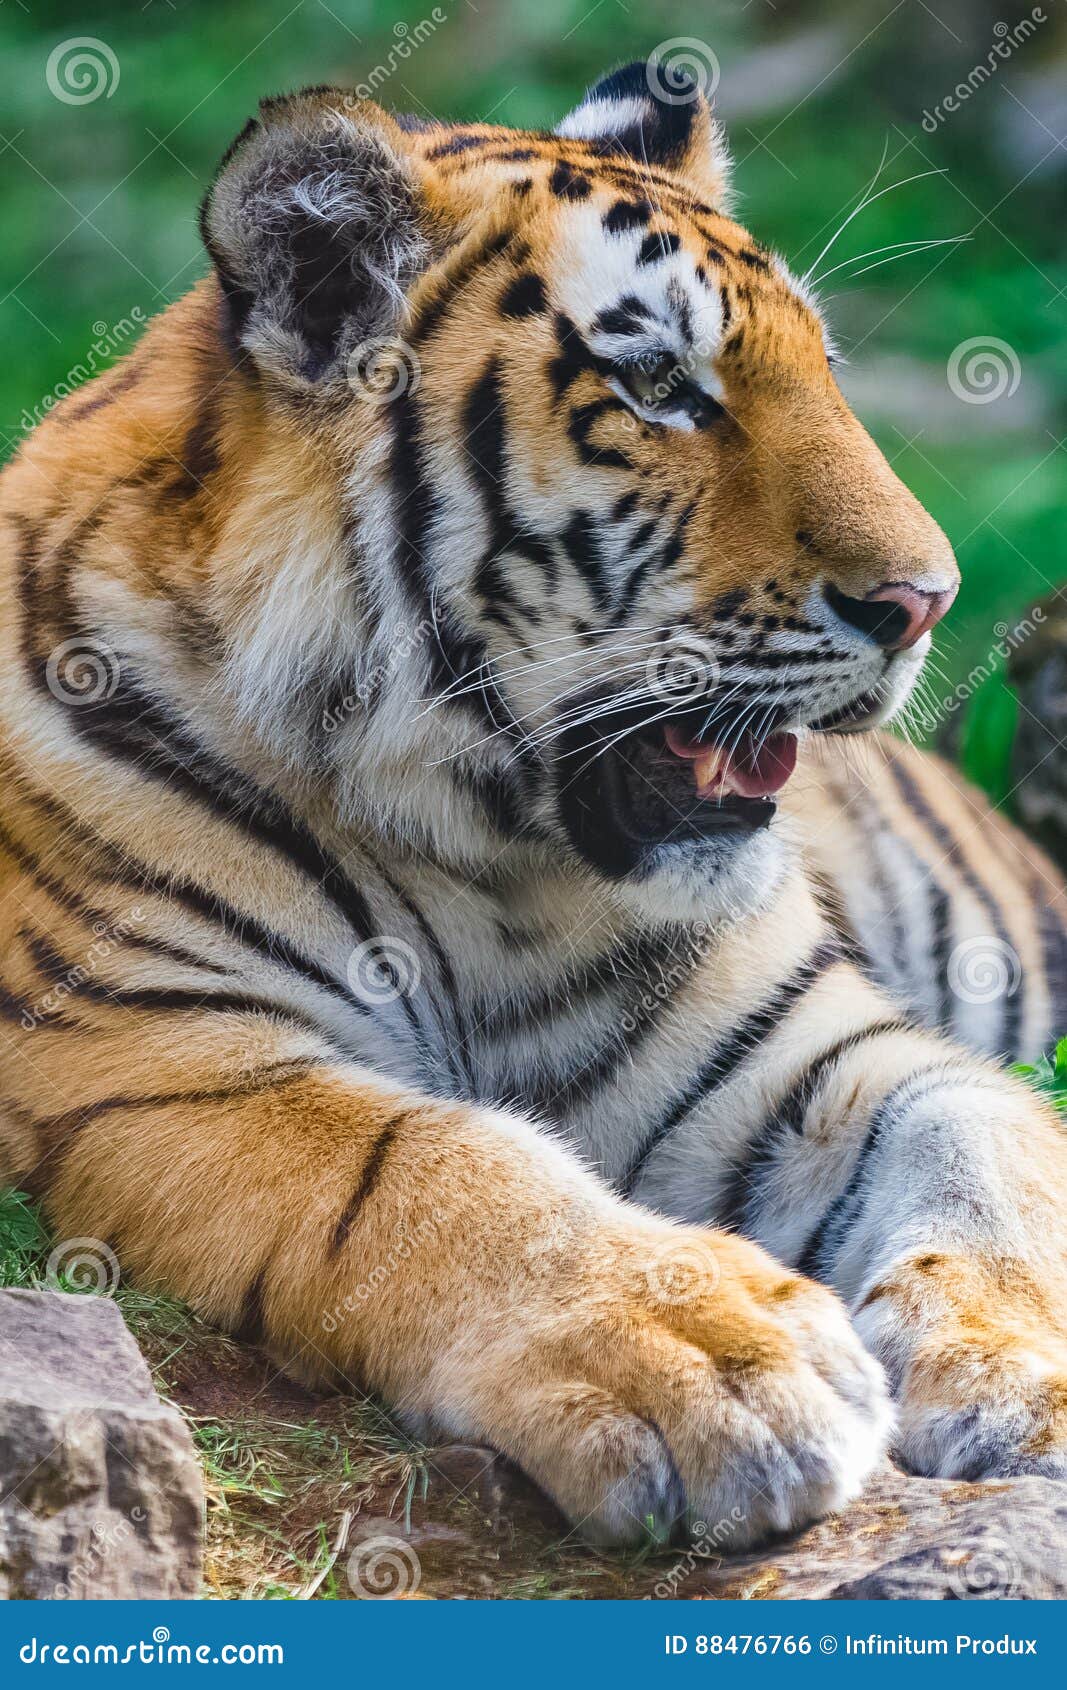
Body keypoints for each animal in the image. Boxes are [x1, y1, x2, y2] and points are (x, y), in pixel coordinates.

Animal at [2, 60, 1067, 1554]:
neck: (492, 862)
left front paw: (1017, 1374)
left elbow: (985, 1142)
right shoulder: (151, 1052)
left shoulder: (820, 1053)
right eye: (659, 385)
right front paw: (717, 1359)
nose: (927, 601)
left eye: (826, 374)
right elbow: (436, 1167)